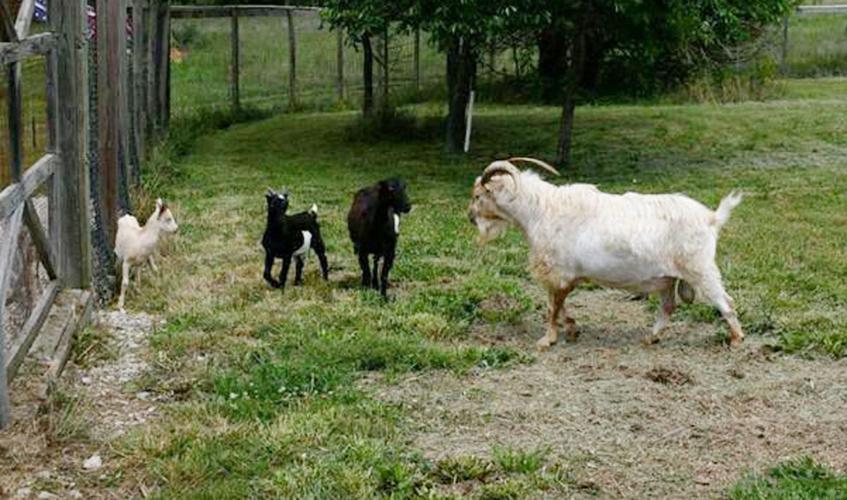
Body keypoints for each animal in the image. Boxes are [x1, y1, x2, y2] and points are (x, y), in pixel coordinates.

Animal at [467, 158, 744, 350]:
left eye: (478, 196)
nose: (469, 217)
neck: (540, 211)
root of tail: (712, 218)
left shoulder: (558, 273)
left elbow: (552, 307)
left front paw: (547, 340)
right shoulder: (566, 277)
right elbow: (560, 305)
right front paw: (572, 329)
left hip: (700, 270)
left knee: (725, 302)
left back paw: (736, 339)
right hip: (667, 278)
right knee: (668, 307)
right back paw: (650, 338)